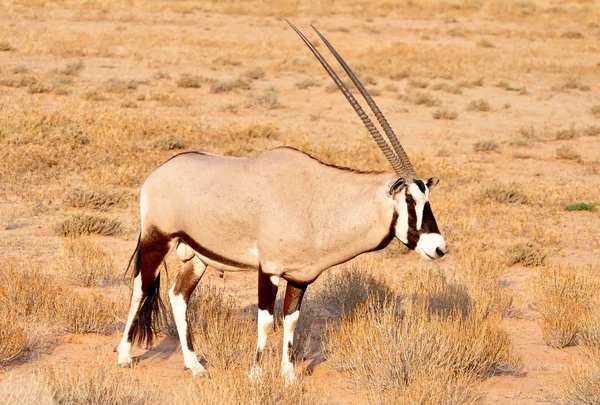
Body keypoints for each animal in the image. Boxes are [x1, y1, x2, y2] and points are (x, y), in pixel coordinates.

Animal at [117, 21, 446, 382]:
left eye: (427, 198)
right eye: (409, 200)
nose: (439, 247)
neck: (318, 200)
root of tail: (159, 172)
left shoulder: (300, 277)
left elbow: (290, 321)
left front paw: (288, 376)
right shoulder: (269, 270)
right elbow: (266, 321)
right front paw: (257, 375)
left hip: (197, 256)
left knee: (178, 295)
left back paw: (195, 364)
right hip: (157, 240)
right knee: (141, 287)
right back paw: (124, 356)